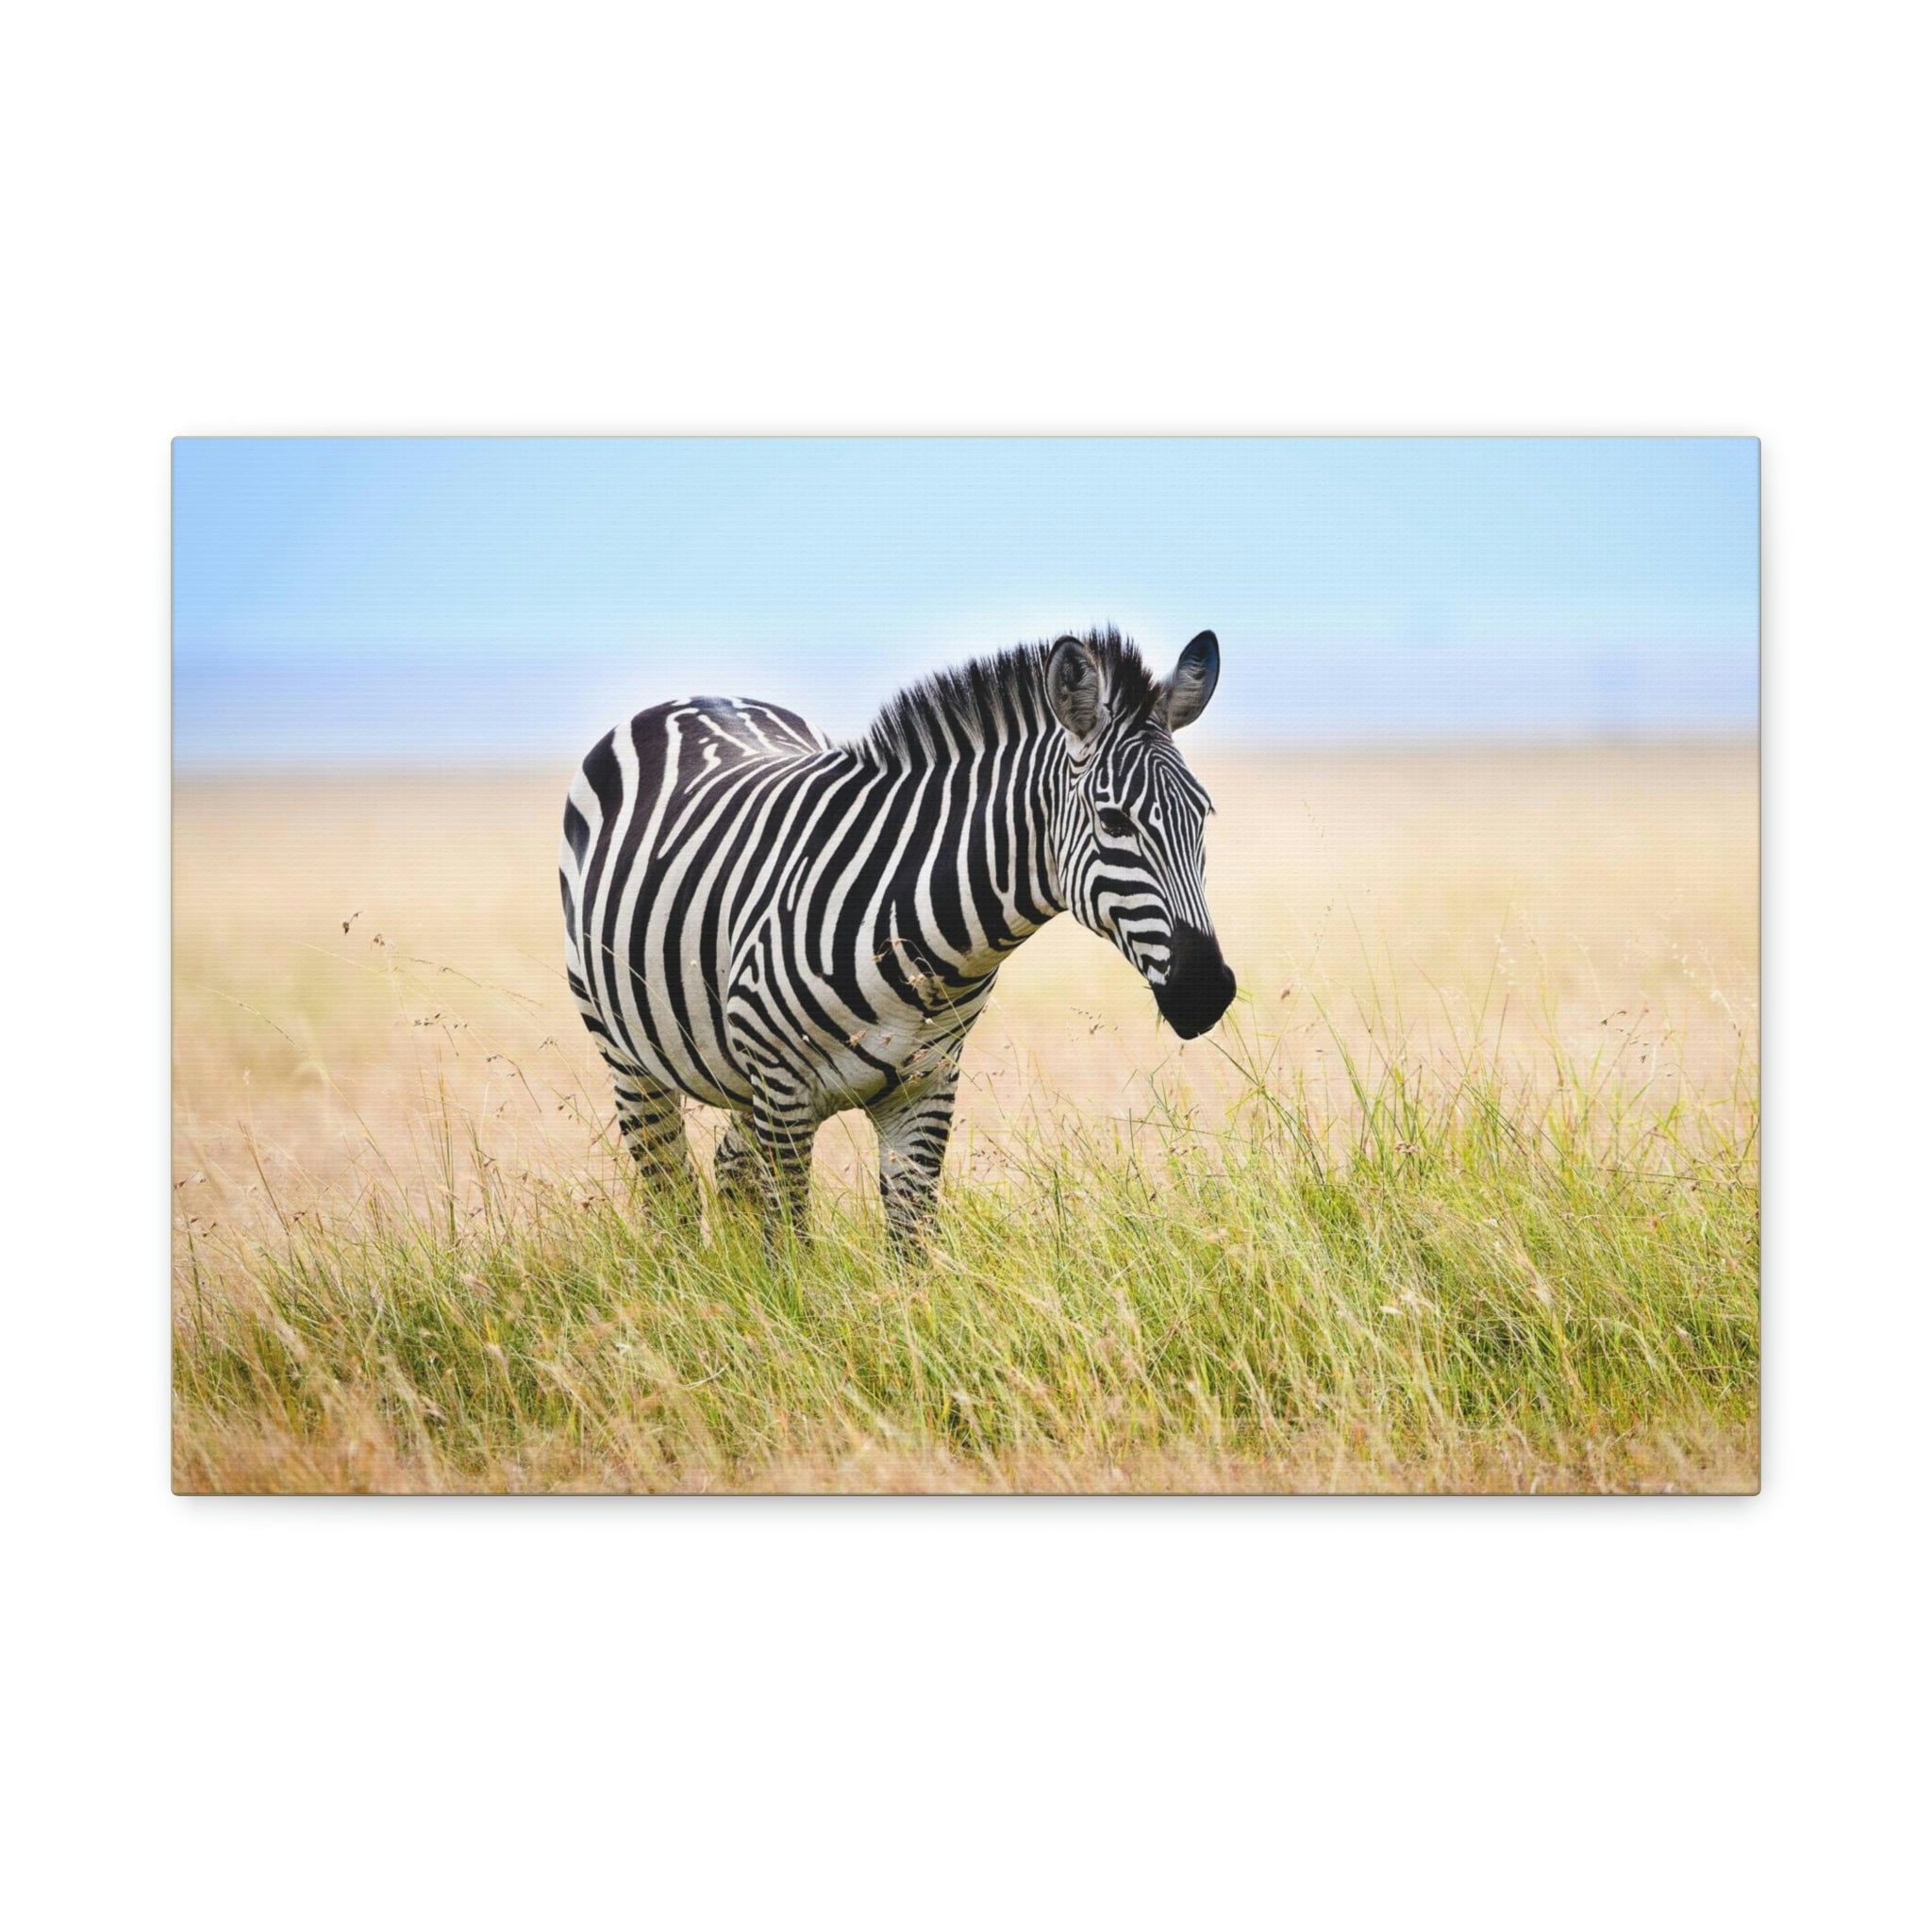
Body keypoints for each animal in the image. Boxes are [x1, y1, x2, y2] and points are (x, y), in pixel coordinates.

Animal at [559, 626, 1236, 1248]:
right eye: (1113, 821)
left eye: (1205, 815)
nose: (1207, 992)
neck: (923, 946)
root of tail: (696, 697)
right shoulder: (782, 1090)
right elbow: (791, 1251)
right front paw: (786, 1301)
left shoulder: (926, 1085)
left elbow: (911, 1251)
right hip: (630, 1054)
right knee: (670, 1193)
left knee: (729, 1170)